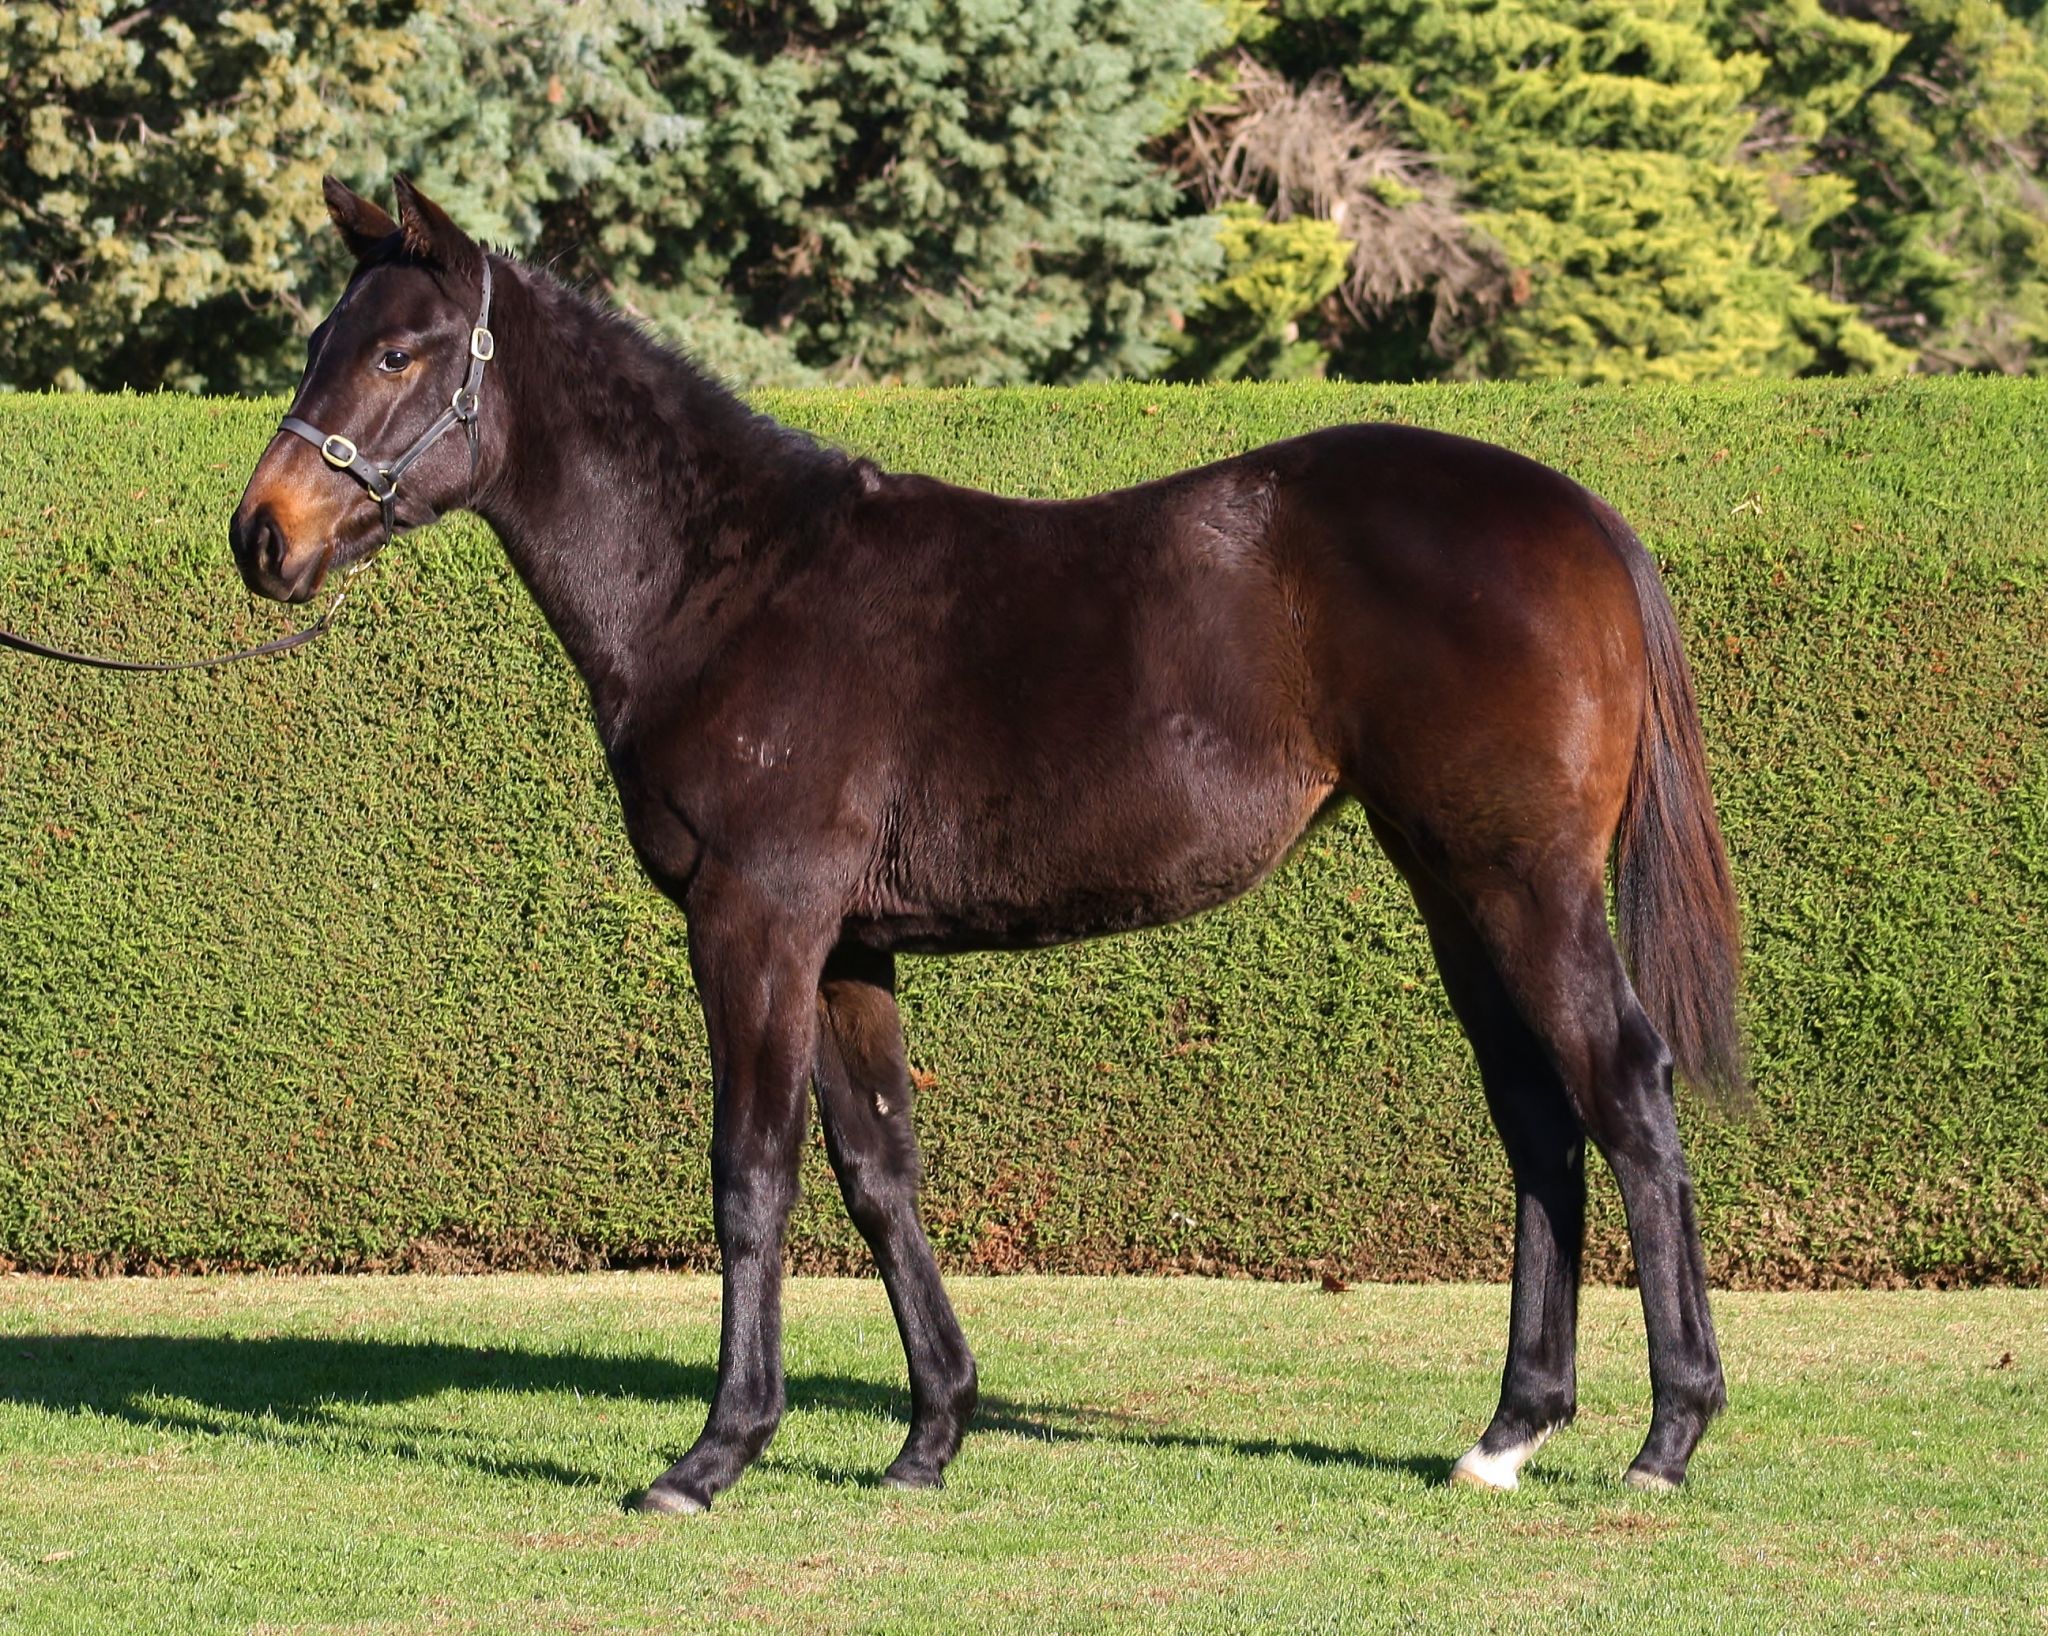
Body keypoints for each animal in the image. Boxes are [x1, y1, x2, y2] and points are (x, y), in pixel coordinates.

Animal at [231, 177, 1743, 1515]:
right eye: (317, 344)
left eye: (400, 351)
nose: (262, 536)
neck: (730, 584)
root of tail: (1577, 516)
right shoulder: (847, 947)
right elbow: (878, 1173)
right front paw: (930, 1436)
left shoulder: (754, 922)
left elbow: (753, 1175)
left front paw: (713, 1456)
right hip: (1453, 885)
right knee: (1537, 1112)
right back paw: (1507, 1434)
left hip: (1524, 885)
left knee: (1623, 1084)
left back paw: (1668, 1436)